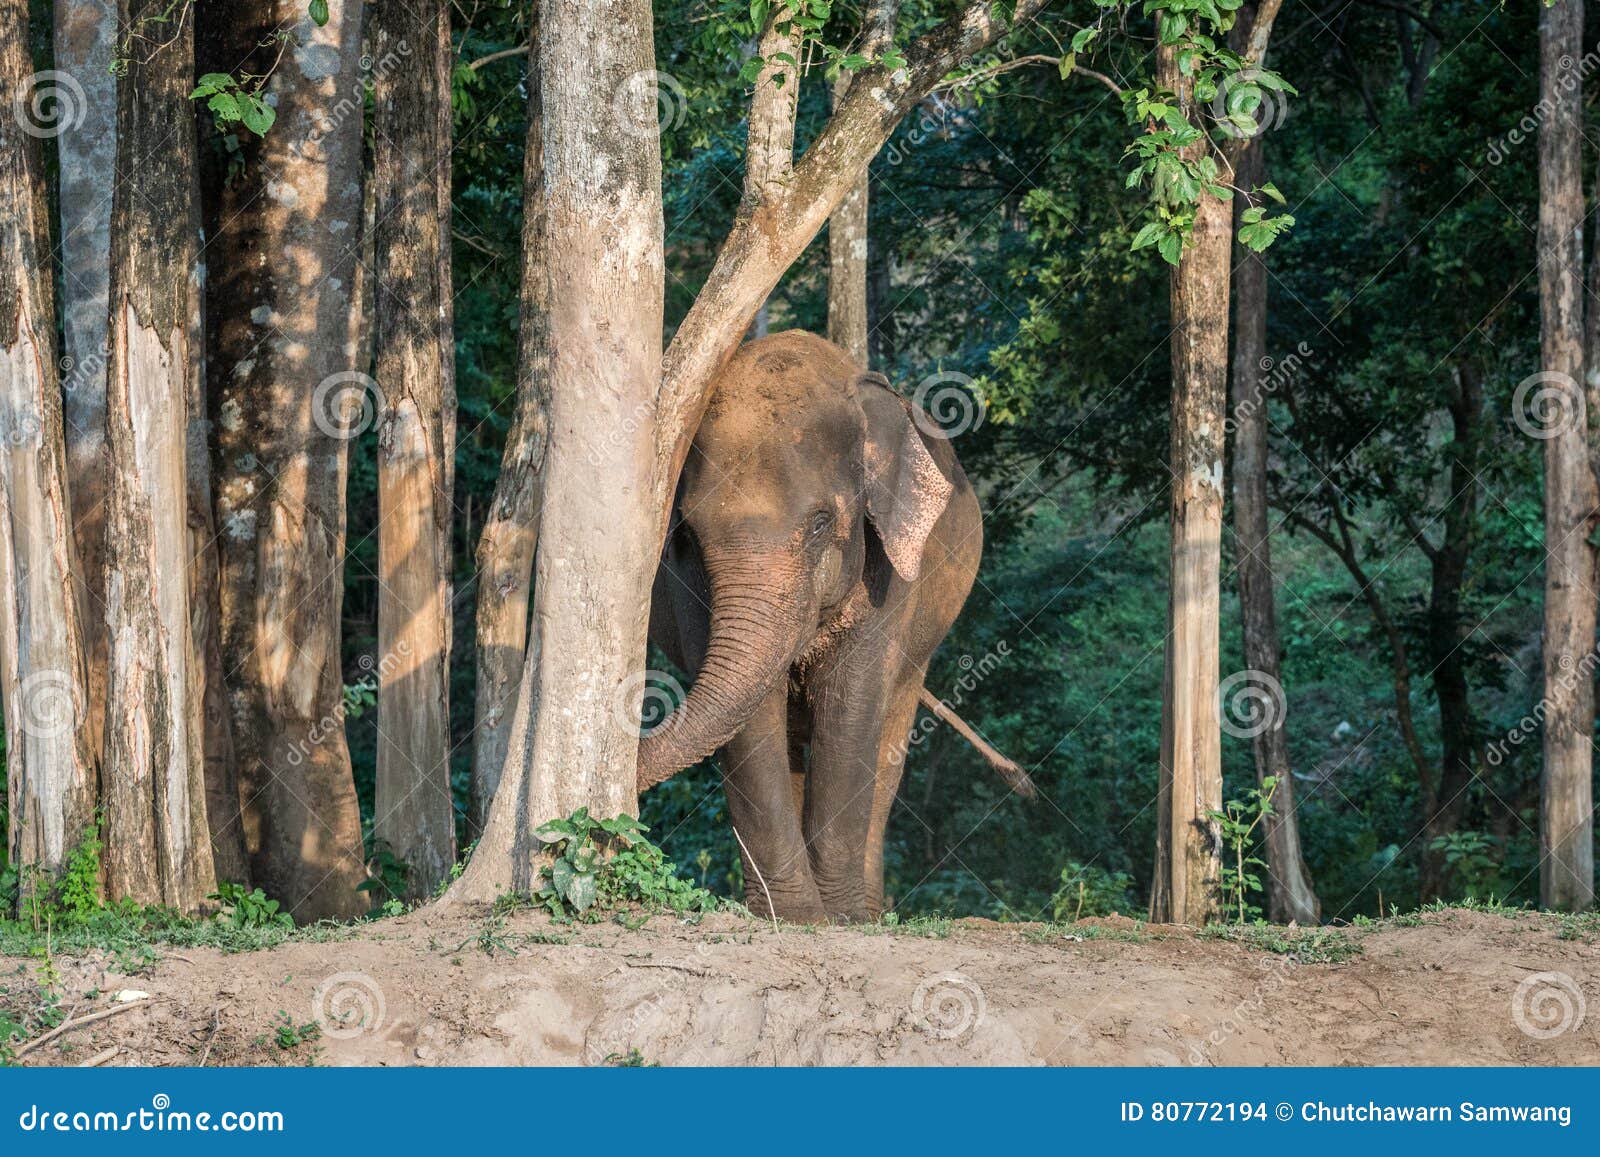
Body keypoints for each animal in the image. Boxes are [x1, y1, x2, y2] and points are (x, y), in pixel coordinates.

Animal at [639, 330, 984, 923]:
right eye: (688, 533)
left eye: (822, 524)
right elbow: (753, 723)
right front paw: (796, 915)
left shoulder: (890, 575)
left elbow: (850, 709)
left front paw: (840, 918)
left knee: (889, 743)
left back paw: (869, 911)